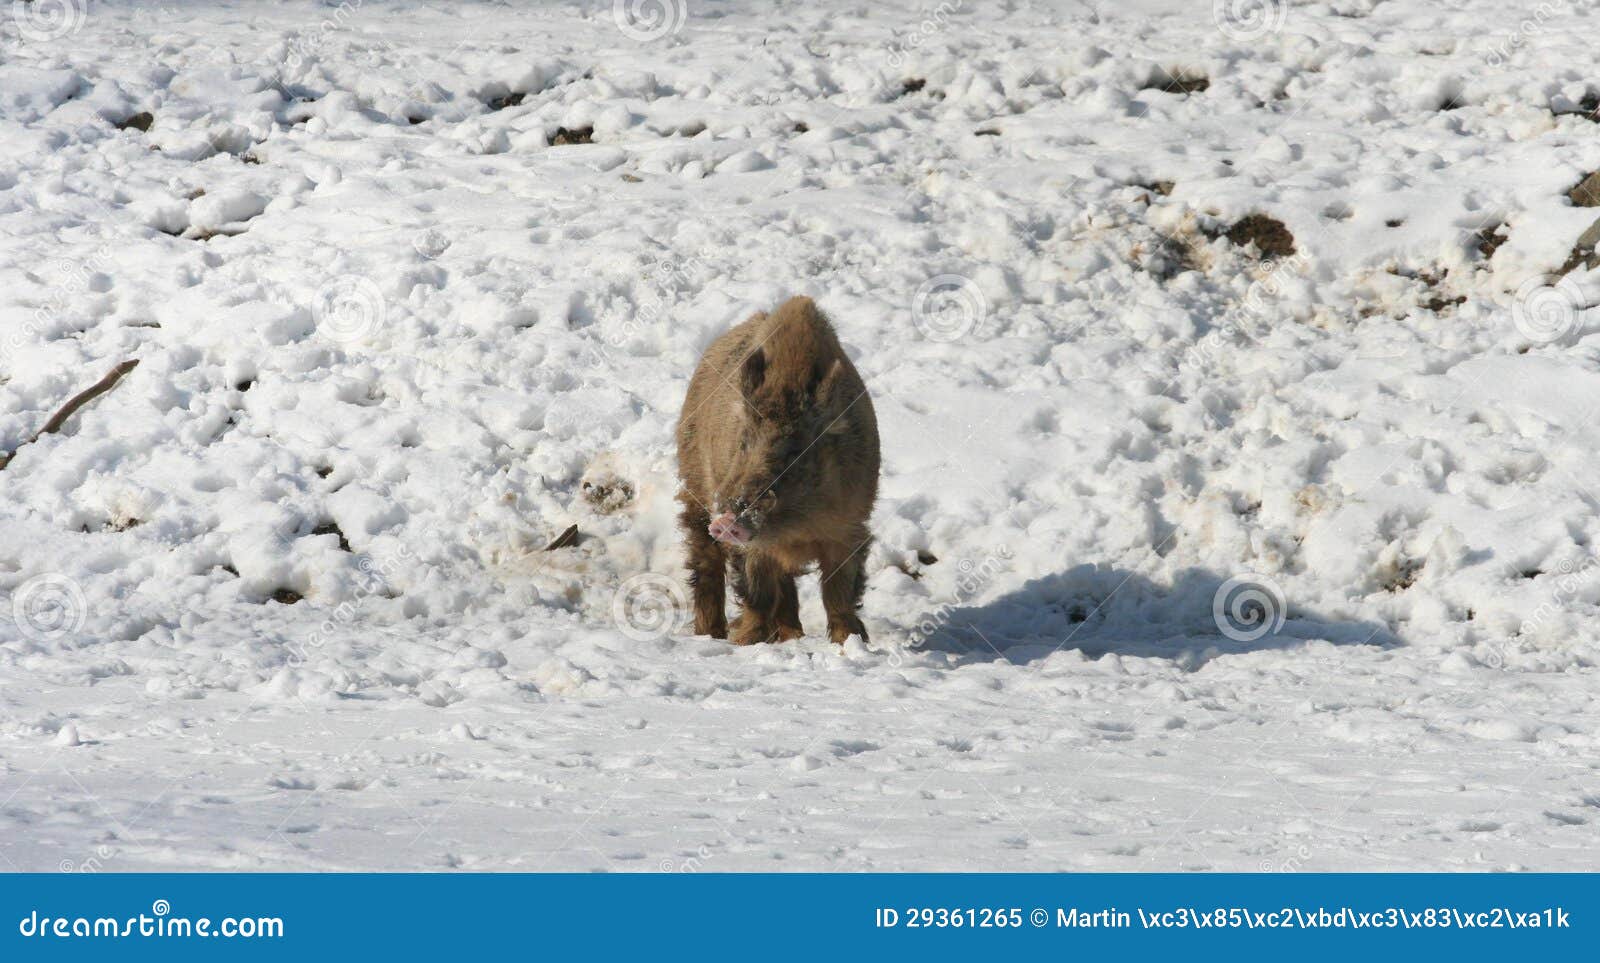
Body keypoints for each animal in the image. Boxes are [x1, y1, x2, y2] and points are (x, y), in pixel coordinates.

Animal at [675, 296, 879, 645]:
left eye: (797, 451)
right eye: (744, 443)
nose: (729, 518)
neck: (796, 526)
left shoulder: (851, 524)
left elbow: (838, 591)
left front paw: (850, 642)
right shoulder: (750, 543)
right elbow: (757, 591)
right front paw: (745, 642)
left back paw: (792, 636)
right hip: (695, 485)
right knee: (705, 559)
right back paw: (711, 635)